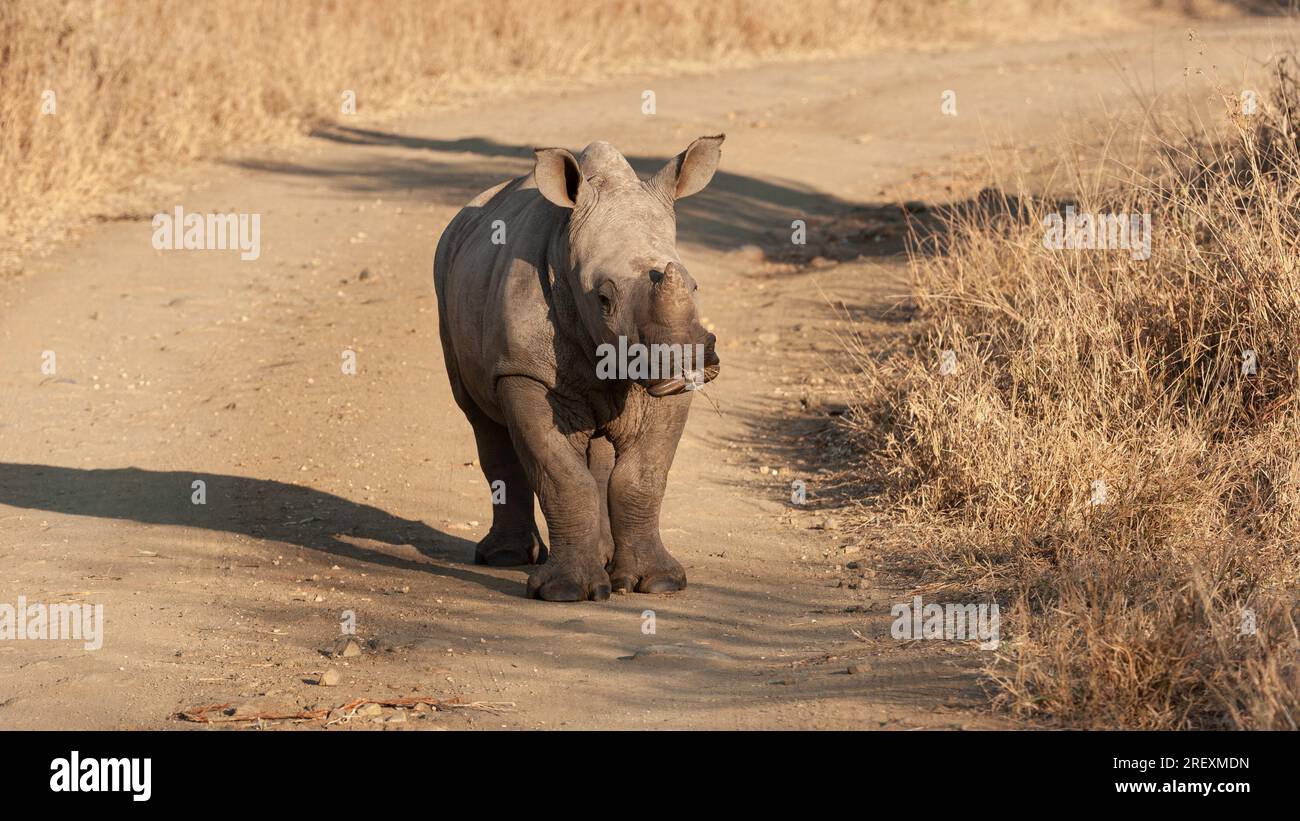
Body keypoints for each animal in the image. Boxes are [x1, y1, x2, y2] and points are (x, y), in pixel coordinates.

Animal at [433, 136, 724, 601]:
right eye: (603, 298)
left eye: (694, 286)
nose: (681, 363)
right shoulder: (524, 371)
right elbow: (563, 477)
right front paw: (566, 592)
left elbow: (642, 475)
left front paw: (658, 583)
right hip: (445, 272)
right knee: (482, 421)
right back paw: (505, 558)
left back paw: (604, 560)